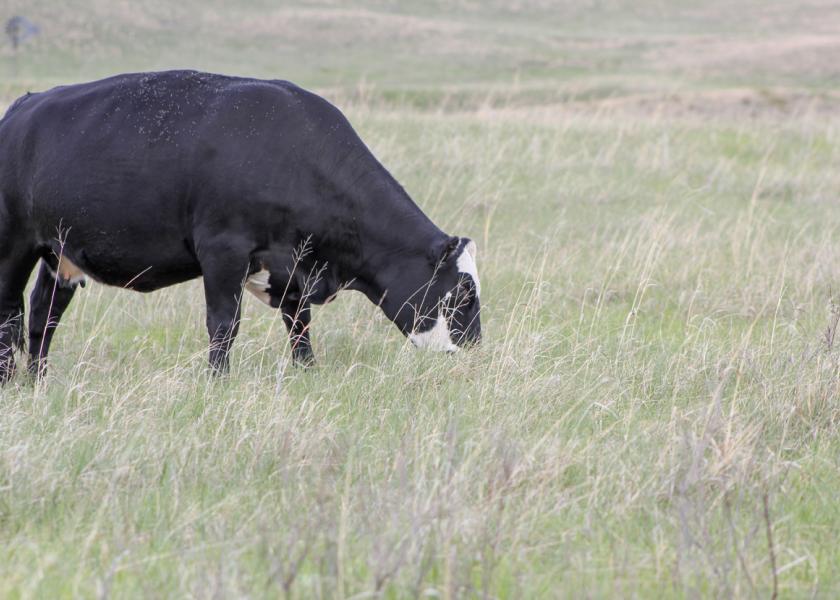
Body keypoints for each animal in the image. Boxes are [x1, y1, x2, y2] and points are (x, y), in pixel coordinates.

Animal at [0, 70, 482, 383]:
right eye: (462, 293)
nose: (475, 348)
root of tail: (23, 105)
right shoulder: (223, 250)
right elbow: (223, 323)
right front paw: (218, 382)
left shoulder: (292, 268)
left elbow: (300, 325)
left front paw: (308, 373)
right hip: (13, 246)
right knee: (10, 313)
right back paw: (10, 380)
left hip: (59, 252)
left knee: (43, 314)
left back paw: (38, 381)